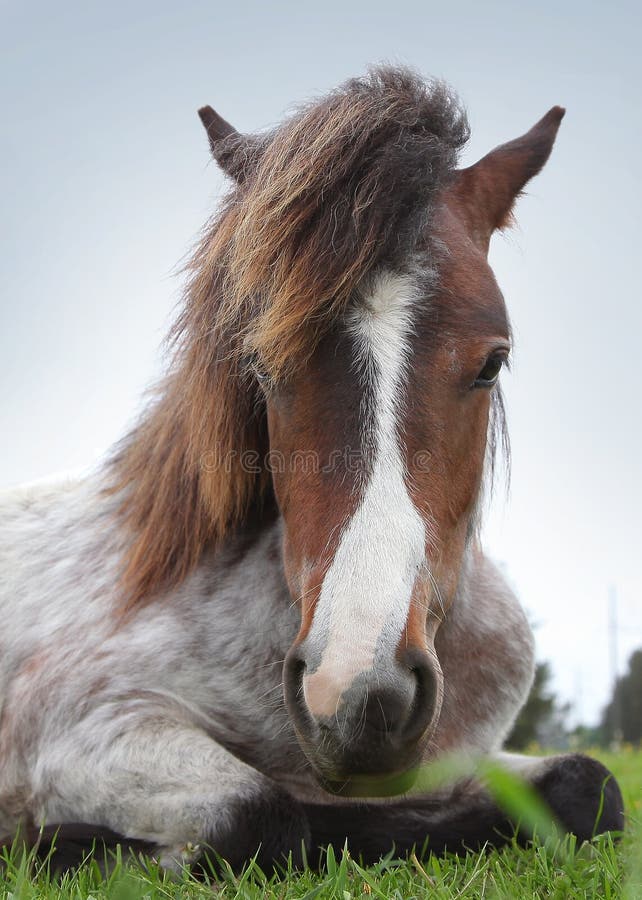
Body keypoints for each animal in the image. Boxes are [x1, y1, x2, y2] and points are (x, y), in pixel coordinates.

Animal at [0, 66, 623, 873]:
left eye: (493, 361)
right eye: (261, 361)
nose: (355, 696)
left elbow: (591, 786)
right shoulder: (80, 727)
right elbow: (262, 814)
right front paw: (76, 845)